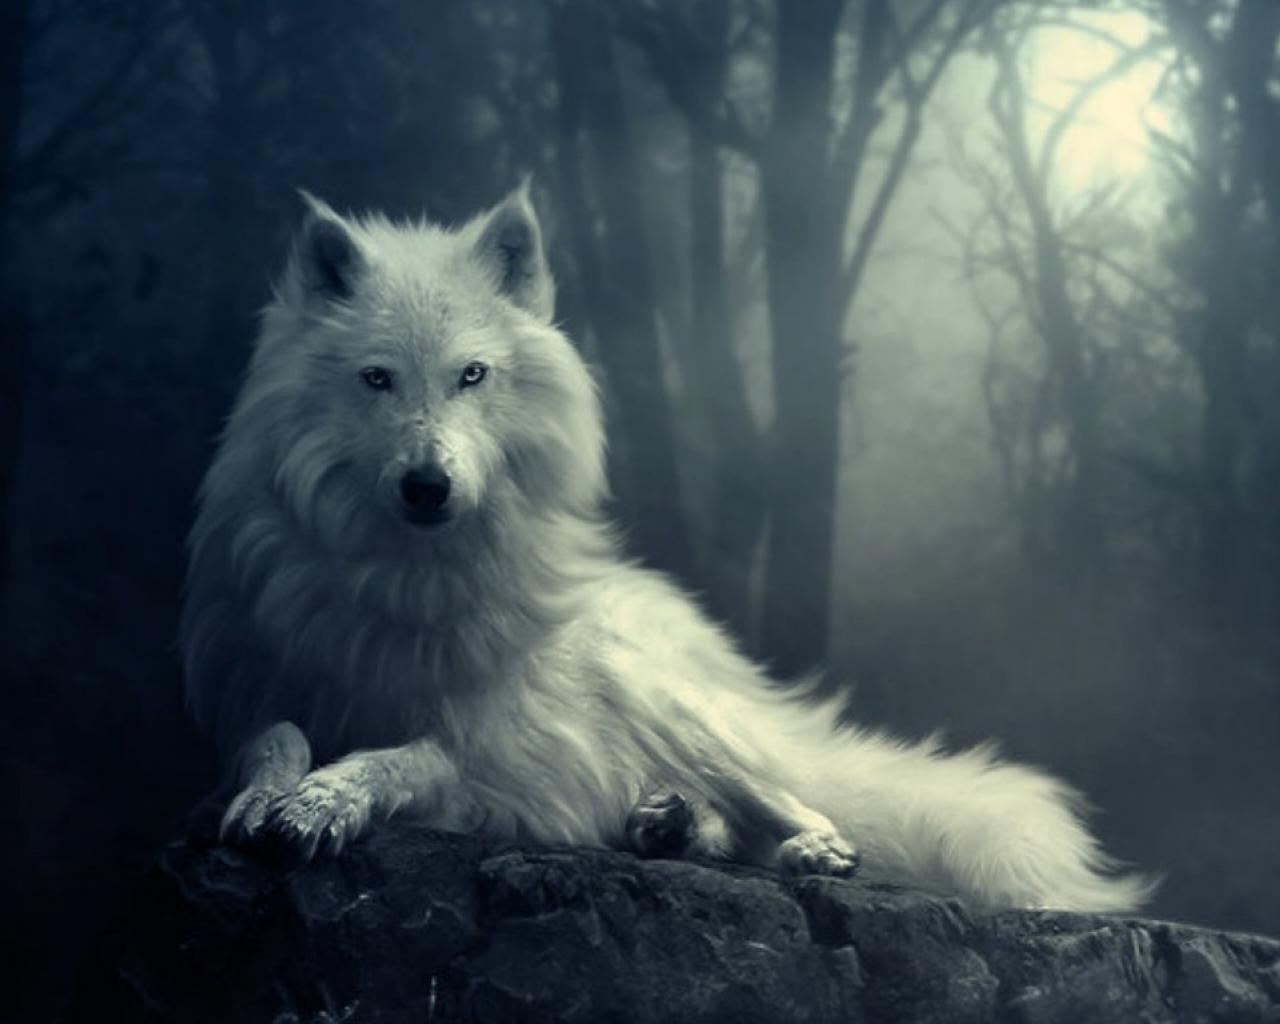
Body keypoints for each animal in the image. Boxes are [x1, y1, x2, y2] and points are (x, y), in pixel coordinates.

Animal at [180, 184, 1150, 912]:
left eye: (472, 376)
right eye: (377, 379)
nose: (428, 486)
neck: (405, 578)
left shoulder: (490, 751)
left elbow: (401, 757)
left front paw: (324, 800)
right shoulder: (254, 689)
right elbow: (274, 738)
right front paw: (269, 795)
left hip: (672, 707)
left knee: (803, 808)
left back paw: (804, 849)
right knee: (714, 823)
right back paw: (666, 823)